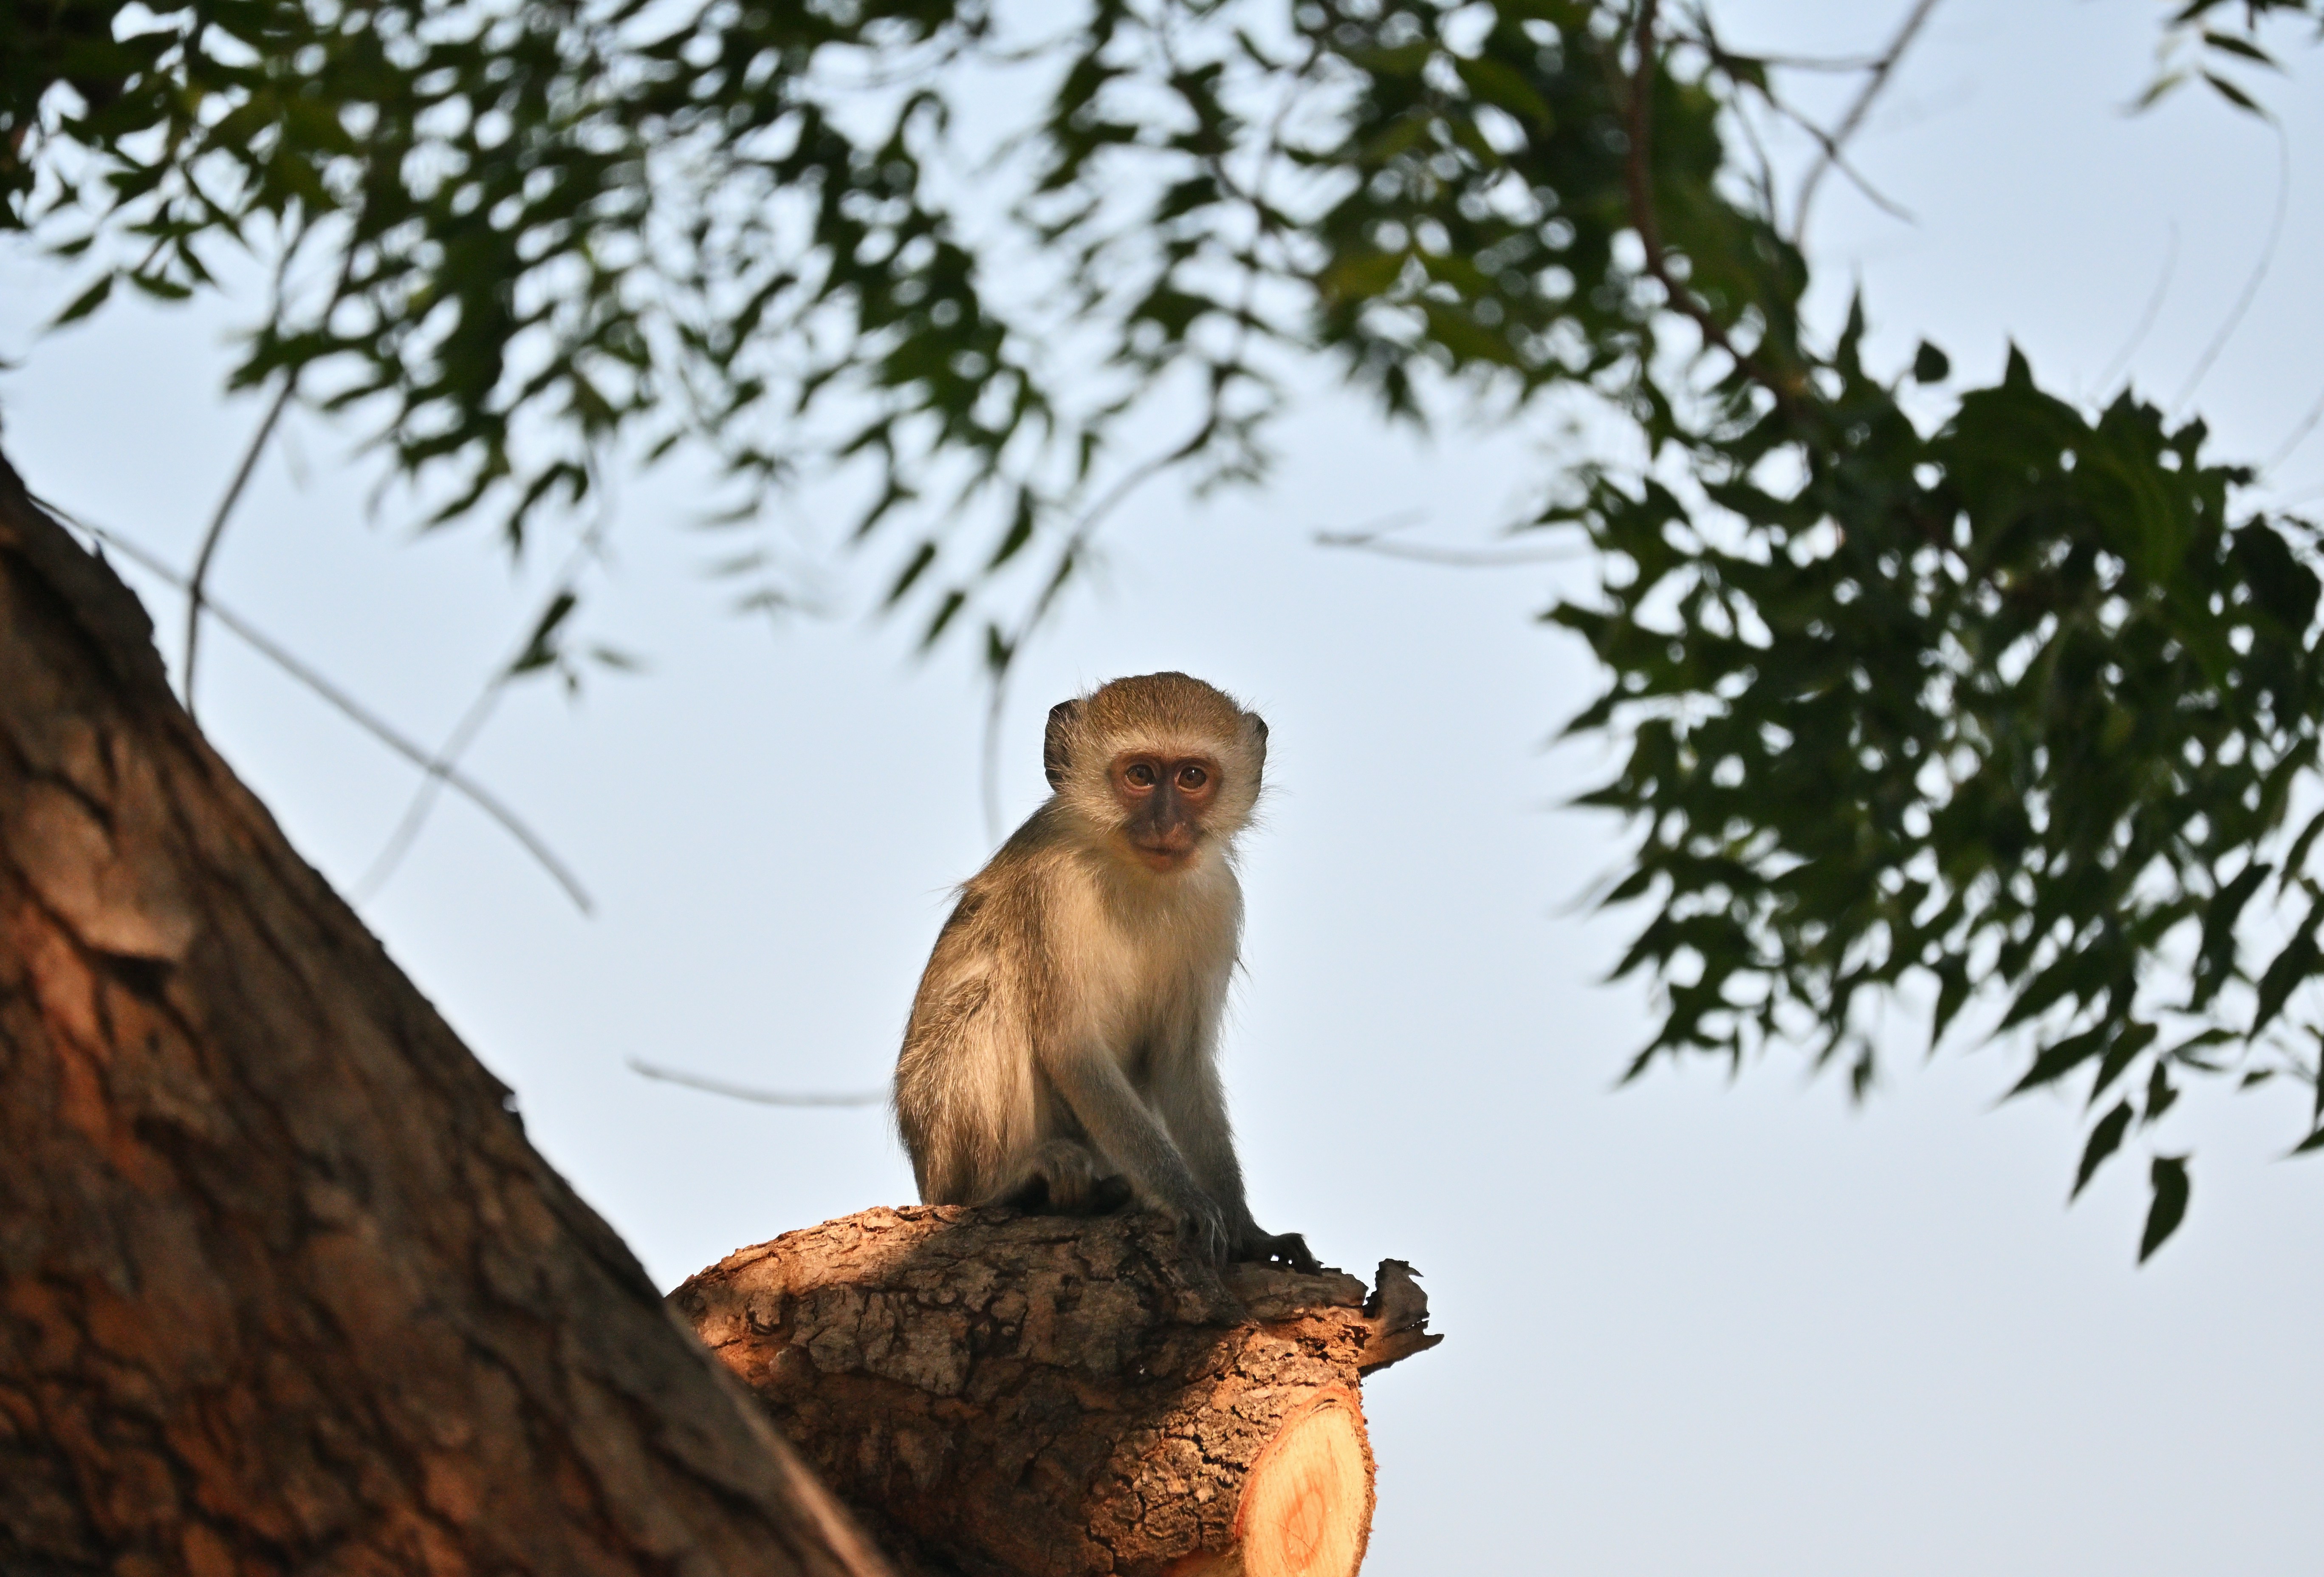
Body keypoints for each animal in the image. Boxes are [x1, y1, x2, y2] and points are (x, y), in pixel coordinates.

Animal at [893, 672, 1316, 1271]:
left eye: (1191, 777)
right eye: (1139, 775)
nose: (1165, 823)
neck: (1136, 875)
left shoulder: (1219, 898)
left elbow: (1181, 1065)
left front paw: (1247, 1230)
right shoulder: (1049, 885)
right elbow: (1070, 1046)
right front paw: (1186, 1199)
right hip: (942, 1156)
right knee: (994, 1001)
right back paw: (1006, 1187)